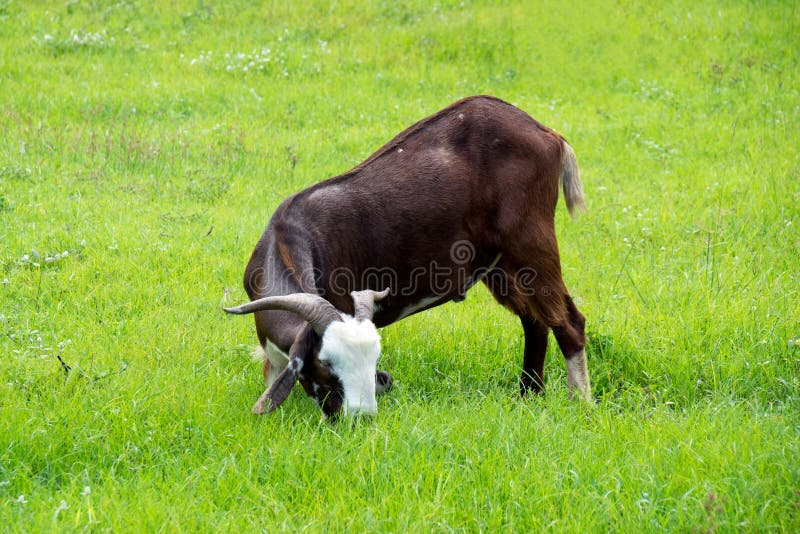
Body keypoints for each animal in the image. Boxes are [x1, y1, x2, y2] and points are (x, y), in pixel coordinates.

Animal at [224, 95, 590, 417]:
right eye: (326, 363)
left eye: (372, 360)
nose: (360, 415)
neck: (285, 240)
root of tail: (549, 135)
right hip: (499, 265)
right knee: (535, 321)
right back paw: (530, 397)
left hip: (530, 240)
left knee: (569, 322)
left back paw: (581, 405)